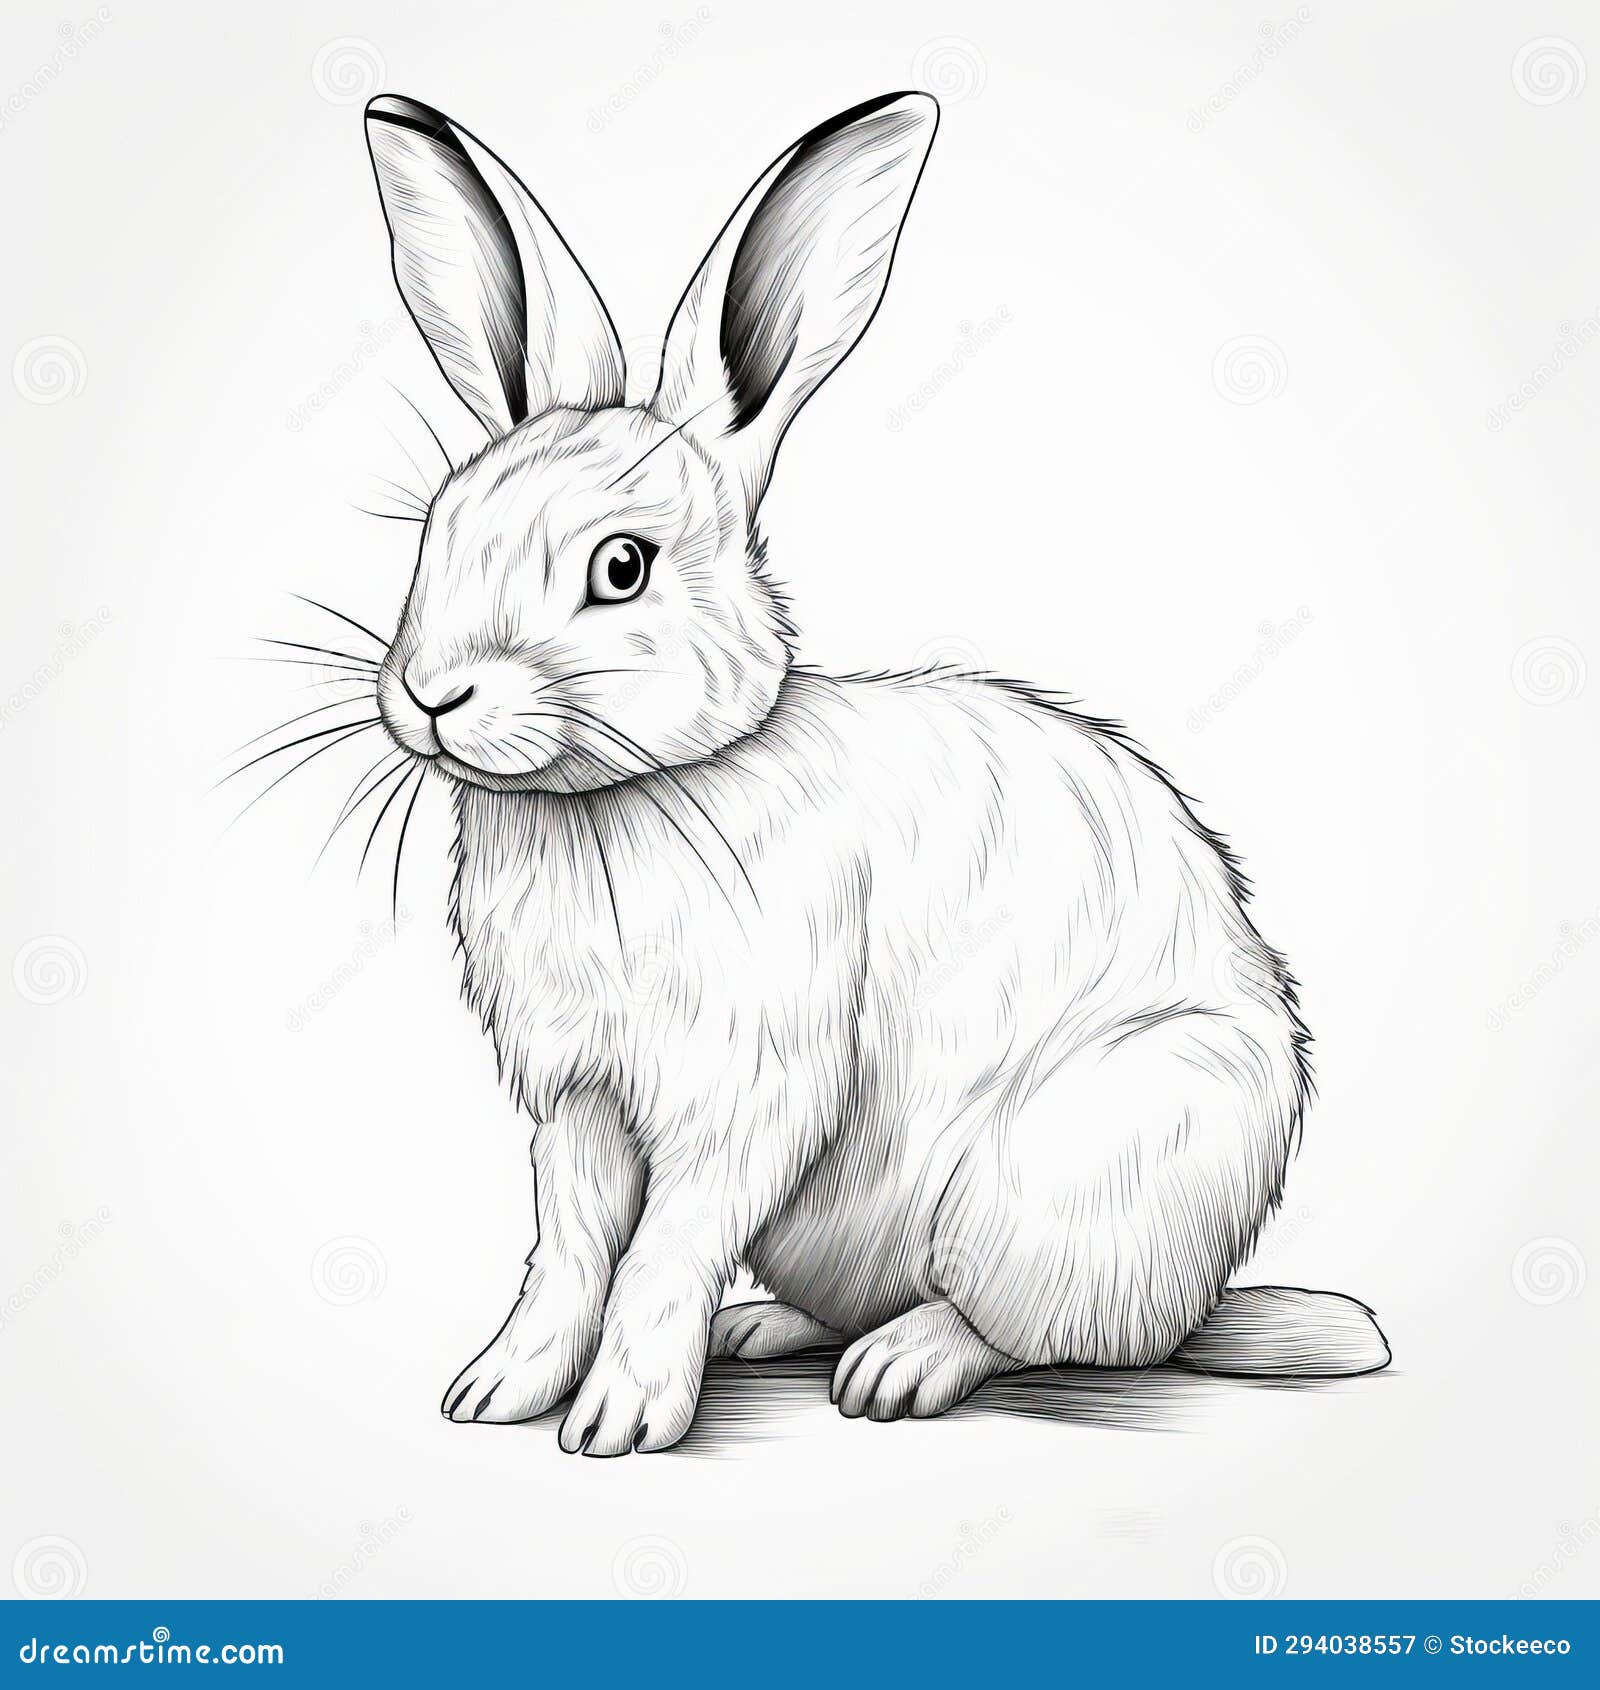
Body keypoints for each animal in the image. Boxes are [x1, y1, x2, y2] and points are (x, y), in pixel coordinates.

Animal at [359, 89, 1389, 1456]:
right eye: (438, 527)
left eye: (621, 568)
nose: (431, 695)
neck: (623, 794)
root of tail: (1201, 1304)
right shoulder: (577, 1097)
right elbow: (572, 1246)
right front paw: (499, 1390)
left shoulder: (748, 1083)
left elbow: (663, 1247)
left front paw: (619, 1418)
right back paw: (765, 1331)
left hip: (1068, 1175)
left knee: (1031, 1329)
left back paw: (898, 1368)